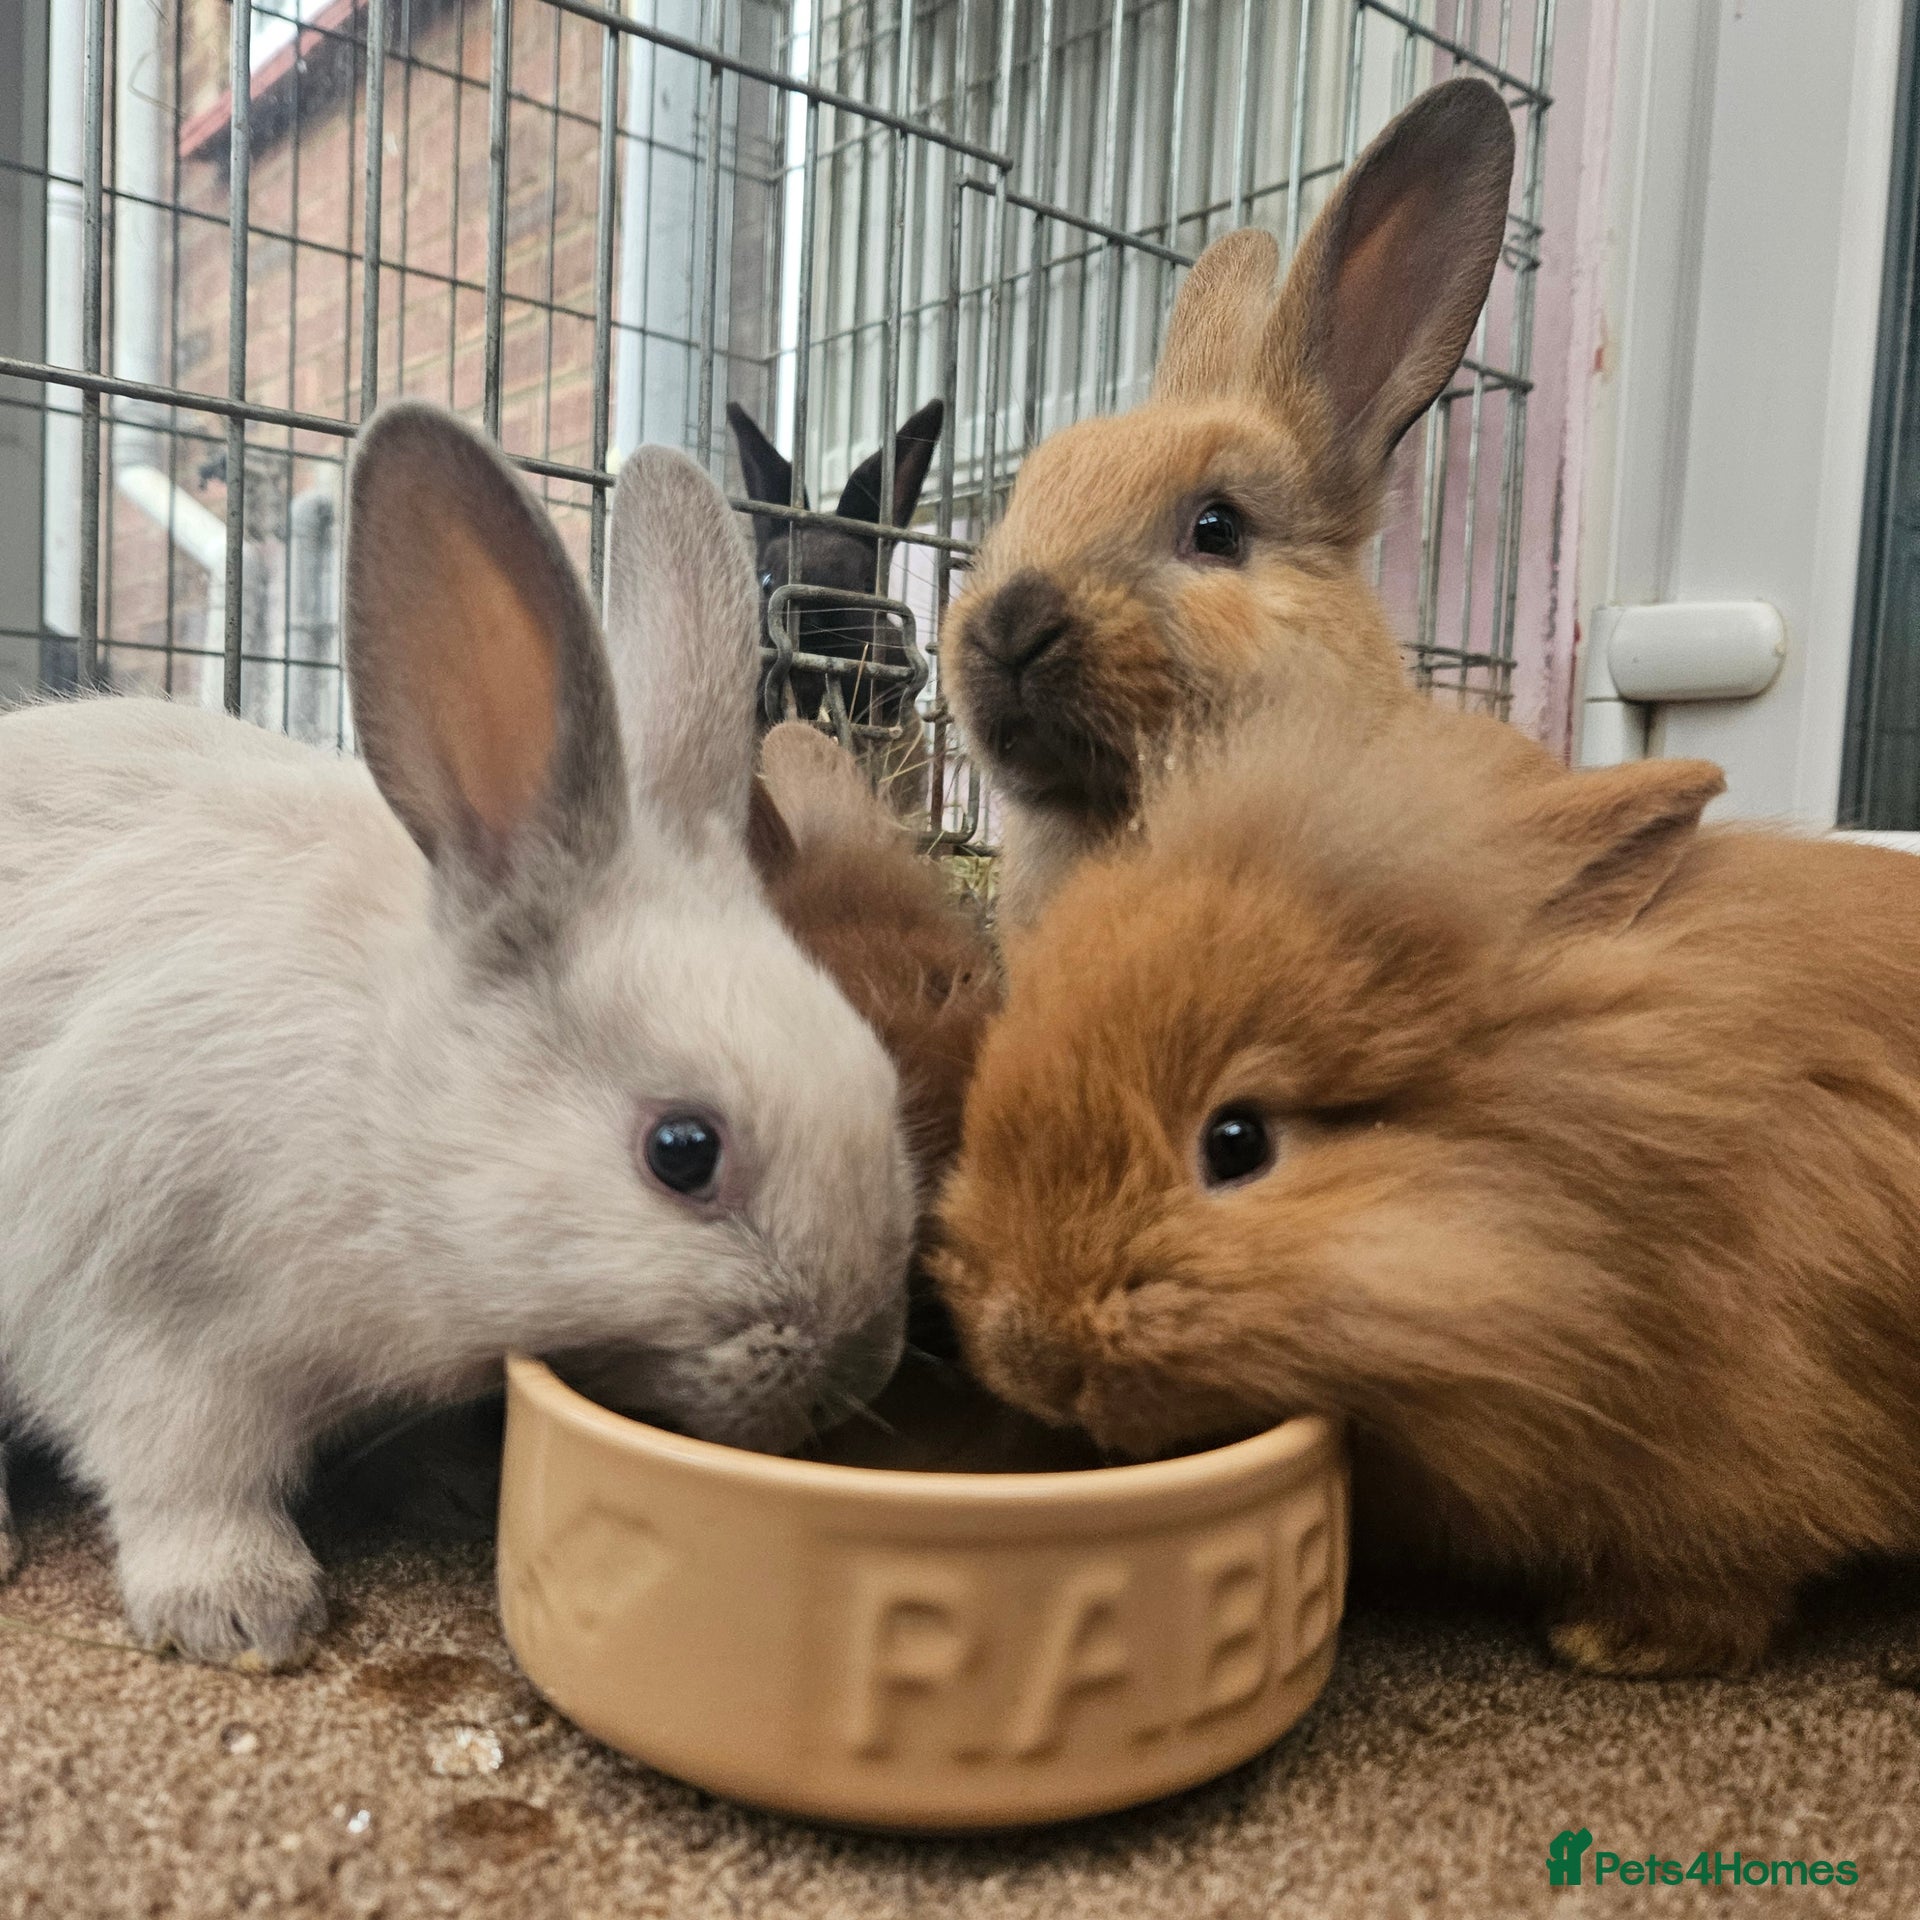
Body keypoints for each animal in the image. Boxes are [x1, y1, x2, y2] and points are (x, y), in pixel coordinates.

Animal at [0, 401, 915, 1668]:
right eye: (682, 1153)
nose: (860, 1365)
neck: (386, 1108)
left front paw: (456, 1487)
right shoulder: (143, 1315)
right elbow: (183, 1476)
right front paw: (245, 1612)